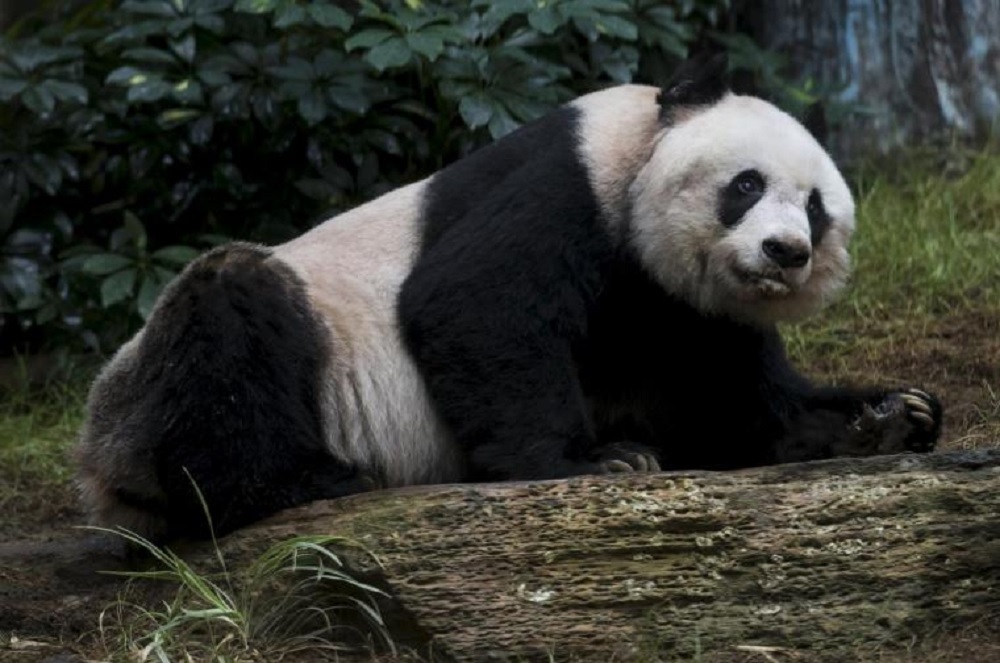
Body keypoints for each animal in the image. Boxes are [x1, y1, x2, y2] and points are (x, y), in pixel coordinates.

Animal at [75, 55, 942, 542]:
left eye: (818, 210)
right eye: (748, 185)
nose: (786, 253)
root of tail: (102, 473)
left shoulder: (685, 311)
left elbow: (742, 399)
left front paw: (889, 417)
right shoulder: (569, 181)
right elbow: (473, 304)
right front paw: (598, 460)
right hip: (153, 388)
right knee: (230, 321)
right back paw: (310, 479)